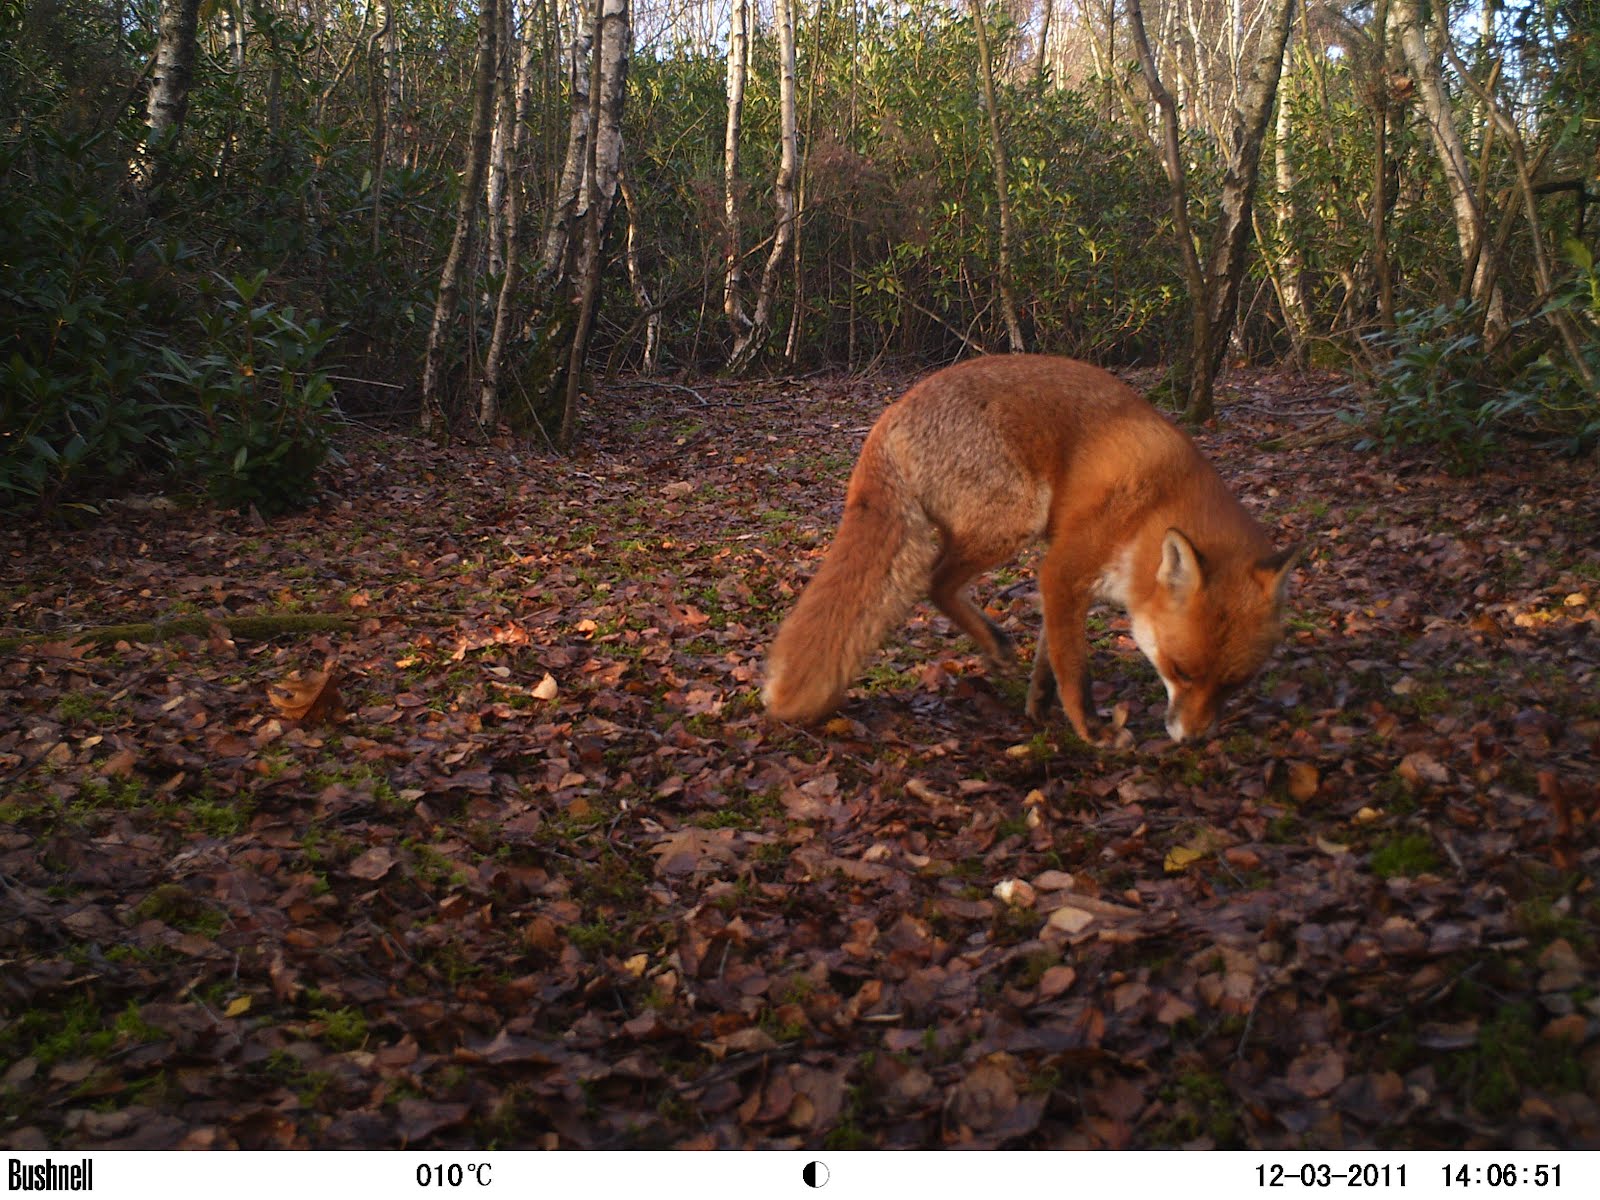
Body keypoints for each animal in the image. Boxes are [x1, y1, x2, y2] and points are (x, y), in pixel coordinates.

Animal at [761, 354, 1302, 743]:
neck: (1155, 506)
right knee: (936, 582)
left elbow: (1051, 656)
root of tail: (889, 416)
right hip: (1016, 517)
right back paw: (995, 643)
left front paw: (1040, 707)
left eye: (1233, 685)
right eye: (1180, 671)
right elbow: (1073, 669)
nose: (1192, 741)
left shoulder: (1072, 584)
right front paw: (1092, 730)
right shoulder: (1061, 569)